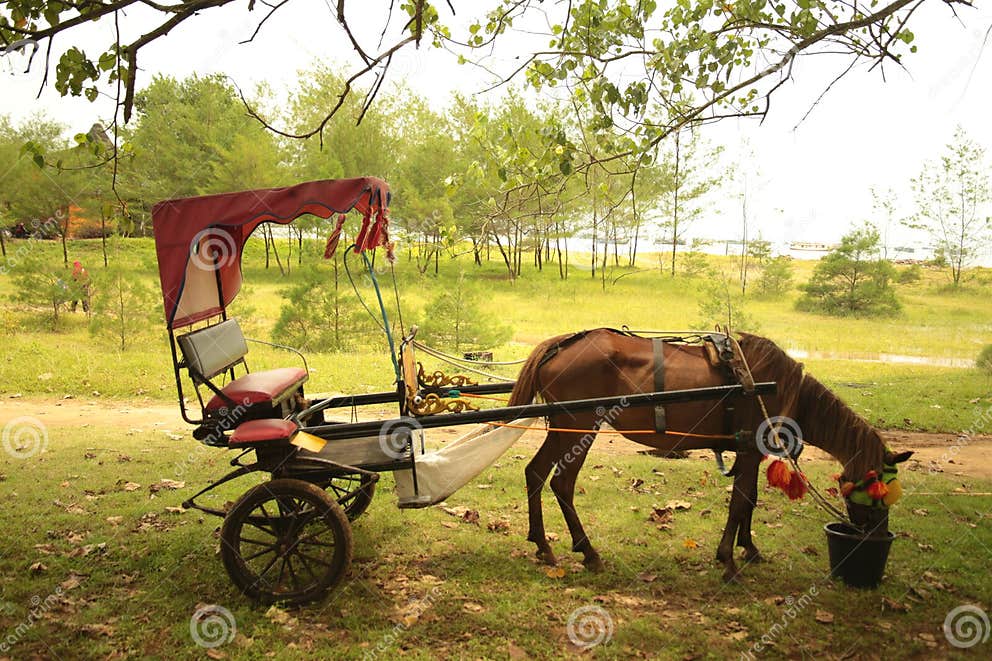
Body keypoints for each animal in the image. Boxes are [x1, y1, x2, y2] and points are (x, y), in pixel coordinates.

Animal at [507, 329, 913, 582]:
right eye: (877, 490)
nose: (878, 535)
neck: (782, 389)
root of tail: (561, 344)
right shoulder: (749, 450)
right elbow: (740, 502)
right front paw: (728, 560)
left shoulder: (752, 454)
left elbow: (750, 501)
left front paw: (749, 548)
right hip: (579, 427)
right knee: (561, 482)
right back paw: (587, 551)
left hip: (564, 429)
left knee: (536, 473)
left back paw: (542, 545)